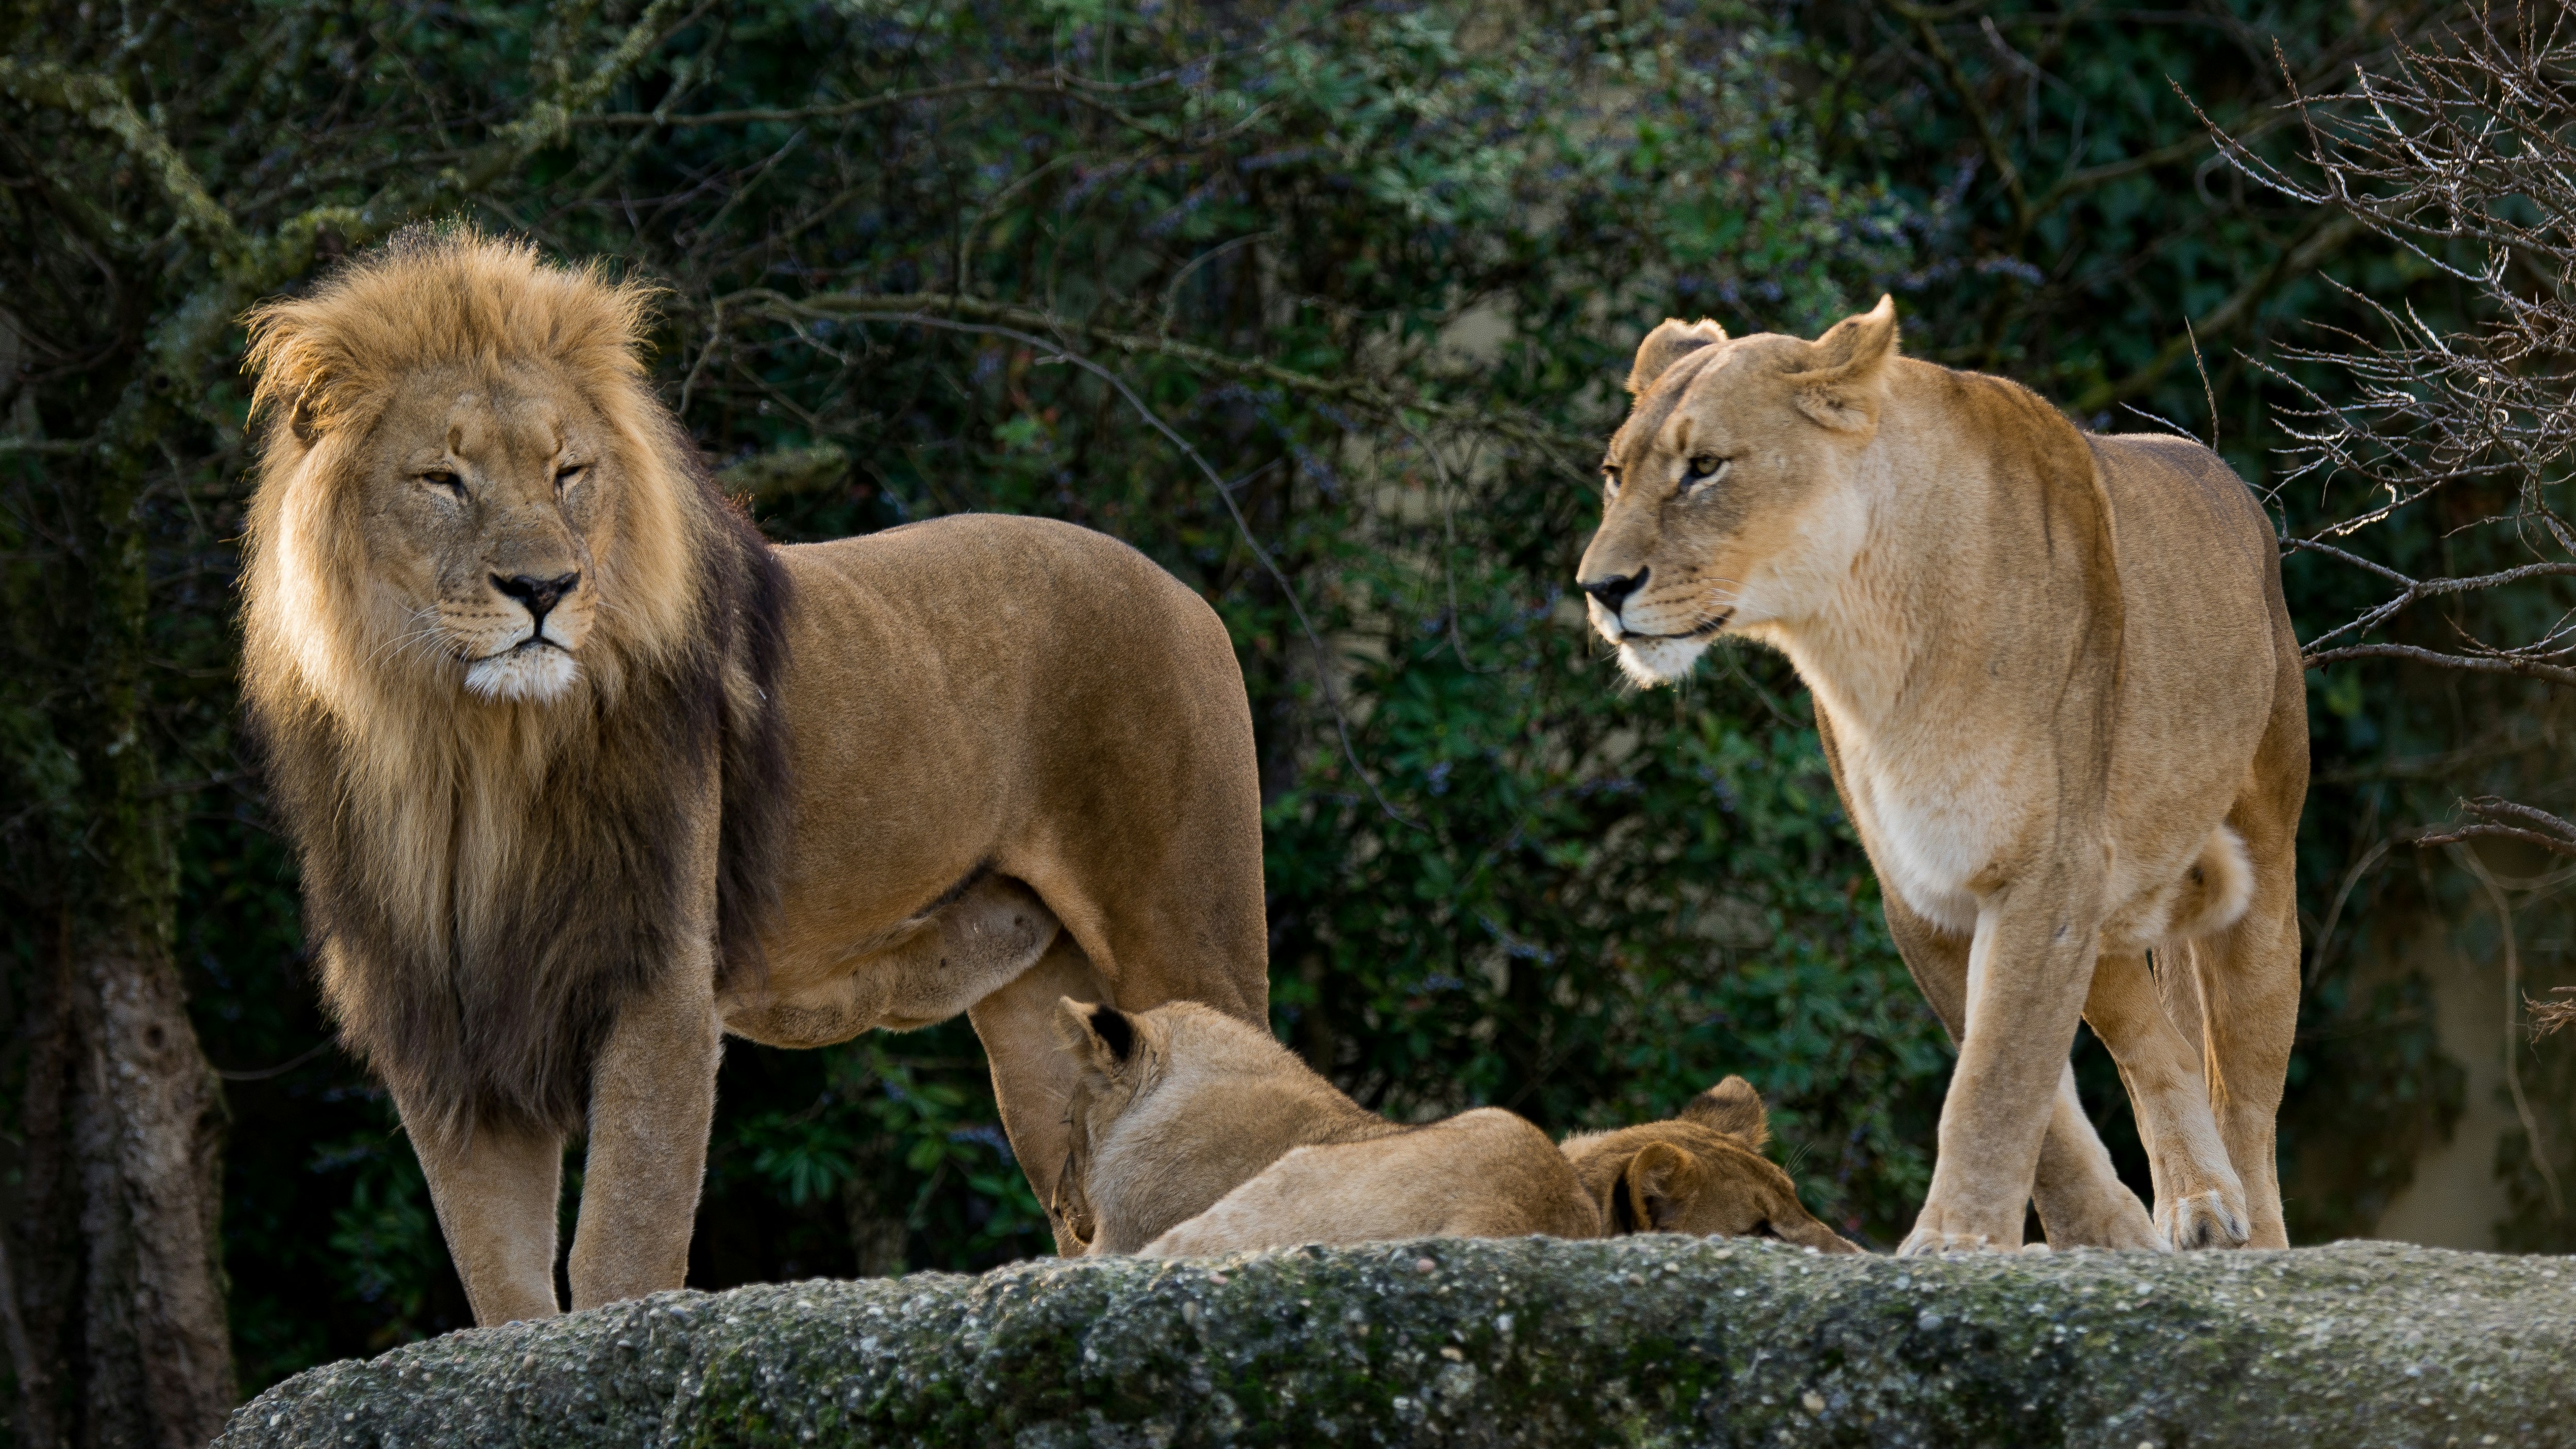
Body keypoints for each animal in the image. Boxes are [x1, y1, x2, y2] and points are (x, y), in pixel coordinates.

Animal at [239, 229, 1268, 1325]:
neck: (471, 752)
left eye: (569, 471)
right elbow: (501, 1281)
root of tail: (1182, 590)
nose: (543, 589)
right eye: (441, 477)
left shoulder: (658, 979)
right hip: (1040, 1017)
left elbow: (622, 1246)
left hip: (1183, 930)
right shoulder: (445, 1014)